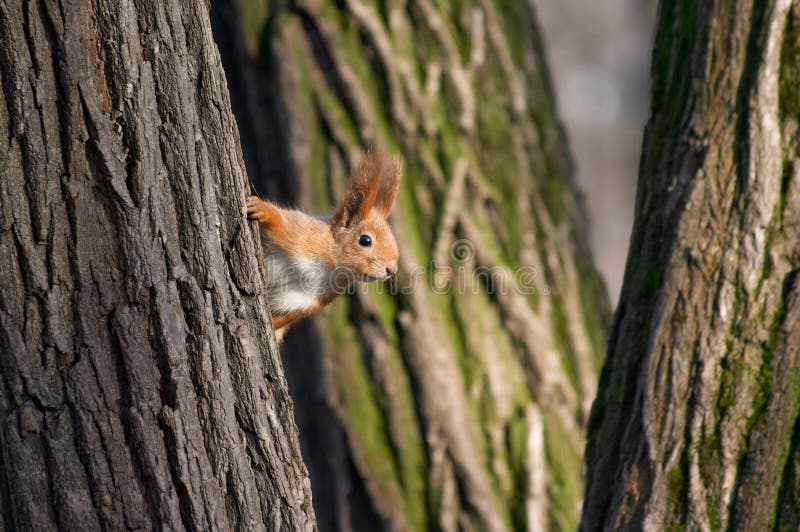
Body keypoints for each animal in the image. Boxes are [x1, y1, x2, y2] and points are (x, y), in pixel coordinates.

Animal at [246, 150, 402, 343]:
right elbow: (280, 221)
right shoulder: (299, 235)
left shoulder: (307, 300)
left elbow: (283, 318)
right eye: (365, 240)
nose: (392, 270)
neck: (329, 267)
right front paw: (261, 209)